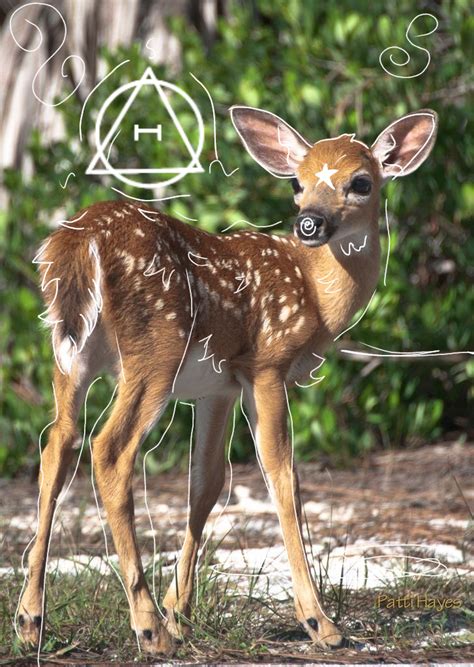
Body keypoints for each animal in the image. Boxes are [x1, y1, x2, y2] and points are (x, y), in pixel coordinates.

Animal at [18, 105, 437, 654]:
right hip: (156, 348)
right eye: (298, 183)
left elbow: (207, 484)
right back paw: (147, 628)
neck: (315, 294)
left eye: (361, 182)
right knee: (109, 449)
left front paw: (180, 611)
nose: (310, 223)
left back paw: (30, 619)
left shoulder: (216, 388)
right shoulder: (267, 365)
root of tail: (78, 240)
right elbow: (283, 477)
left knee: (58, 444)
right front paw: (319, 622)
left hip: (71, 352)